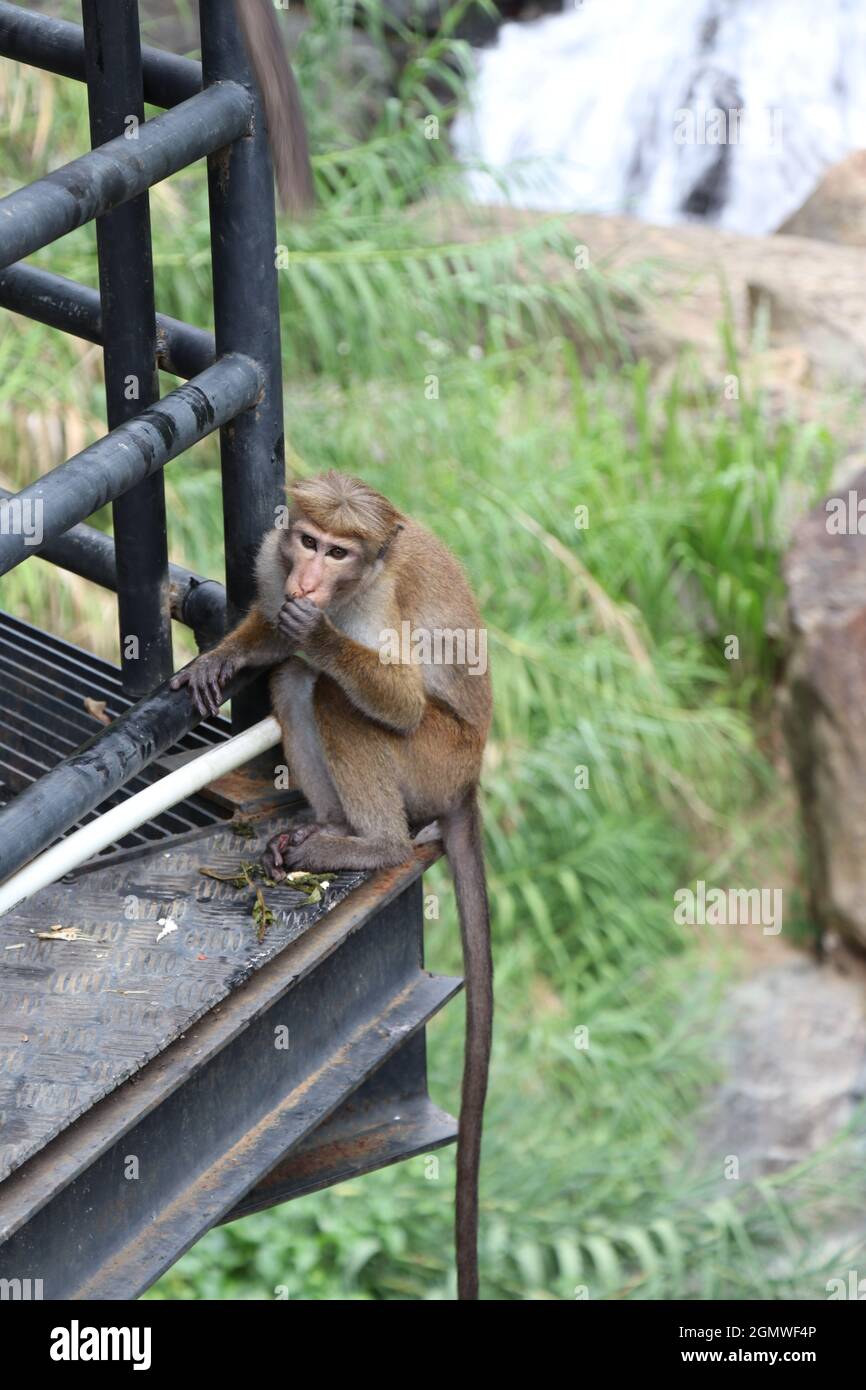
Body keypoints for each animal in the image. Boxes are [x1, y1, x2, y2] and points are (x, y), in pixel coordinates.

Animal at [171, 472, 493, 1300]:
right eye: (310, 542)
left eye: (340, 553)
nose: (311, 579)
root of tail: (470, 781)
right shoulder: (269, 555)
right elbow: (270, 633)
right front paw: (226, 653)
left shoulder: (375, 605)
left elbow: (391, 696)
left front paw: (314, 632)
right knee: (296, 683)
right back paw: (320, 825)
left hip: (436, 760)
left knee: (338, 695)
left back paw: (372, 843)